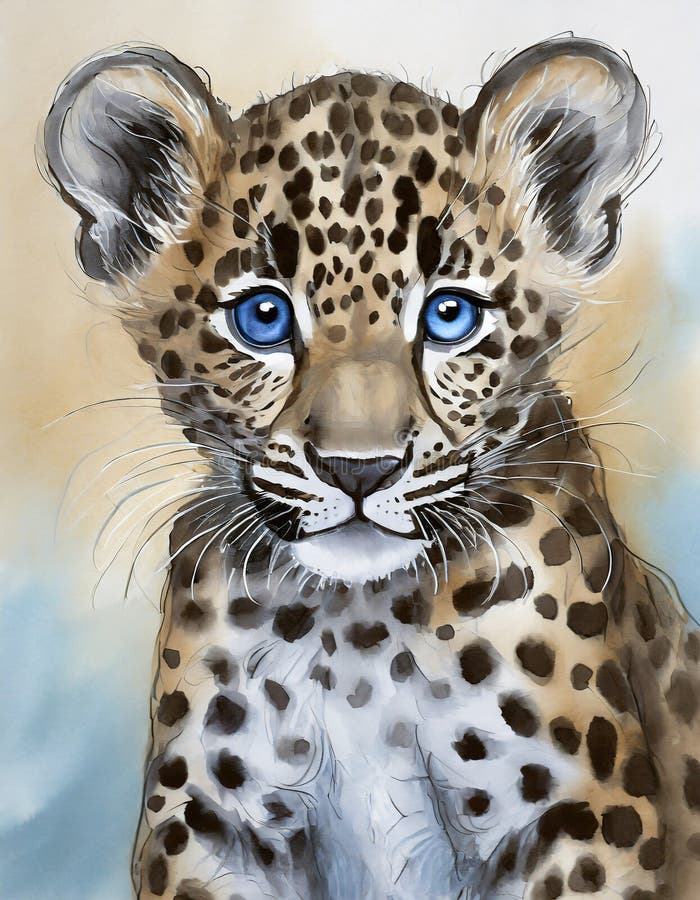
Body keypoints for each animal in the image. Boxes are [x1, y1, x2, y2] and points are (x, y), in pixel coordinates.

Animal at [42, 36, 700, 899]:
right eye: (262, 316)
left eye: (451, 315)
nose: (360, 469)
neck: (357, 633)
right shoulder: (210, 821)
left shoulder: (577, 816)